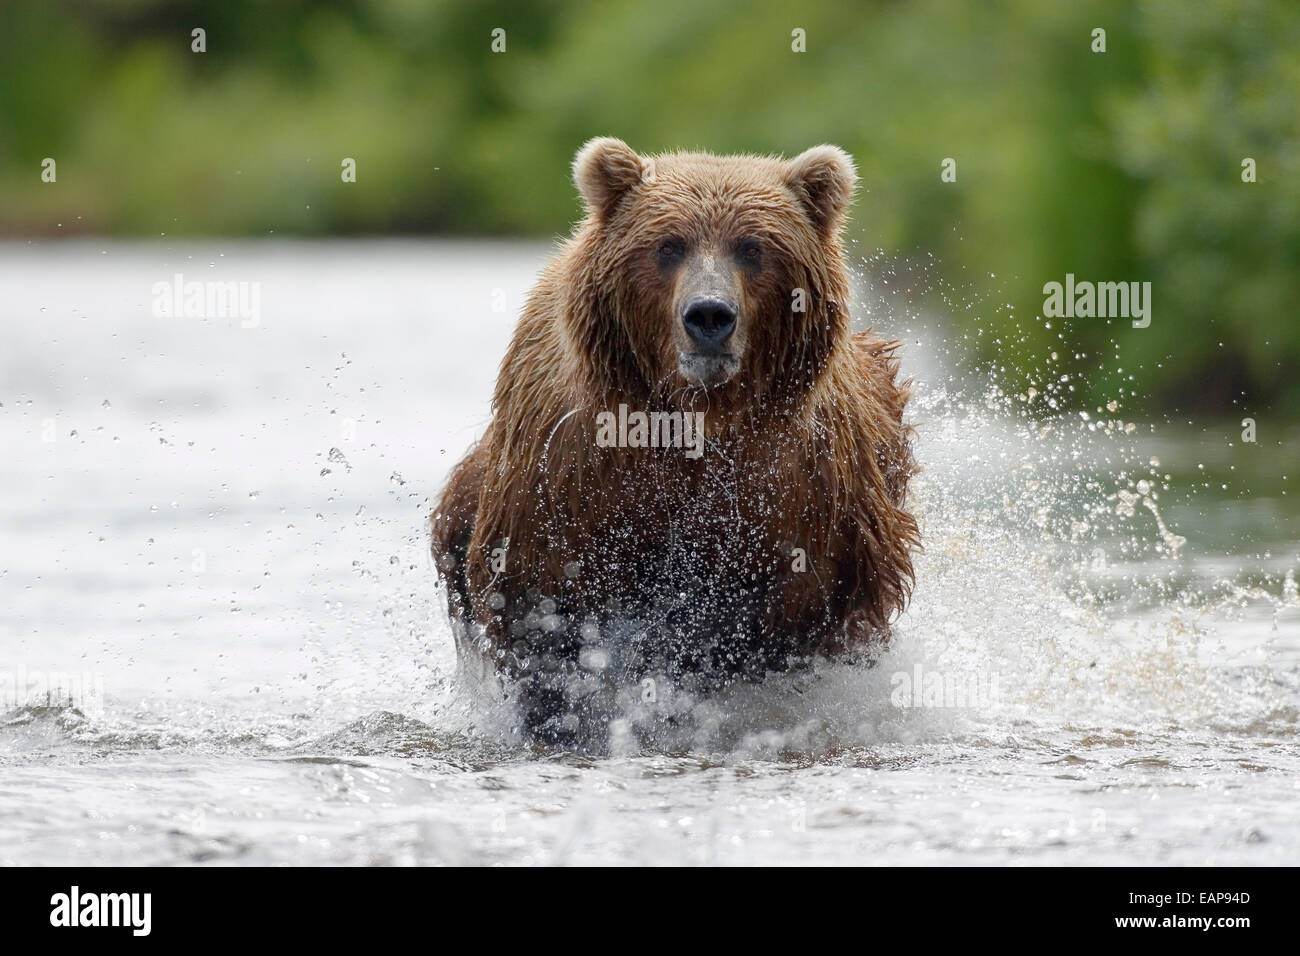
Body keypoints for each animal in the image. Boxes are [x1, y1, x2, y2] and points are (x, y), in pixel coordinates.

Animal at [432, 138, 919, 747]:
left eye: (752, 247)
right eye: (669, 245)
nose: (709, 314)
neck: (692, 422)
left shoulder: (799, 494)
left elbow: (774, 610)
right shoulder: (570, 473)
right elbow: (543, 609)